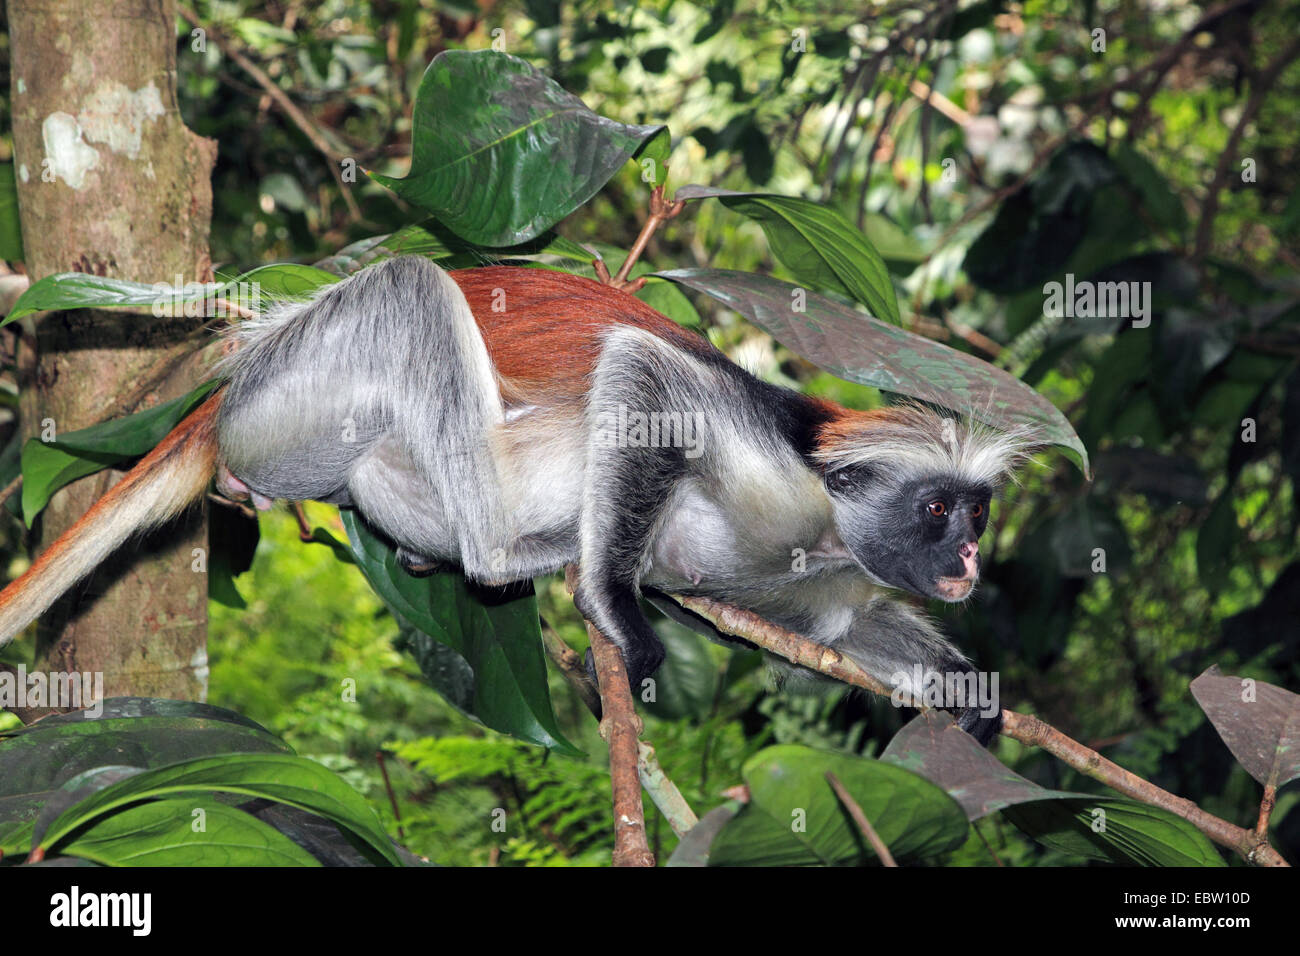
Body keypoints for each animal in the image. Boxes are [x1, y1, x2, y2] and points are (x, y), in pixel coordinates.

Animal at [0, 256, 1037, 744]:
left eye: (976, 516)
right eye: (940, 512)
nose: (969, 560)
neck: (823, 533)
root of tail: (219, 404)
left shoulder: (812, 579)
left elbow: (845, 632)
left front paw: (966, 686)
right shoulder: (770, 469)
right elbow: (644, 378)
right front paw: (615, 601)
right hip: (296, 384)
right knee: (413, 289)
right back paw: (522, 556)